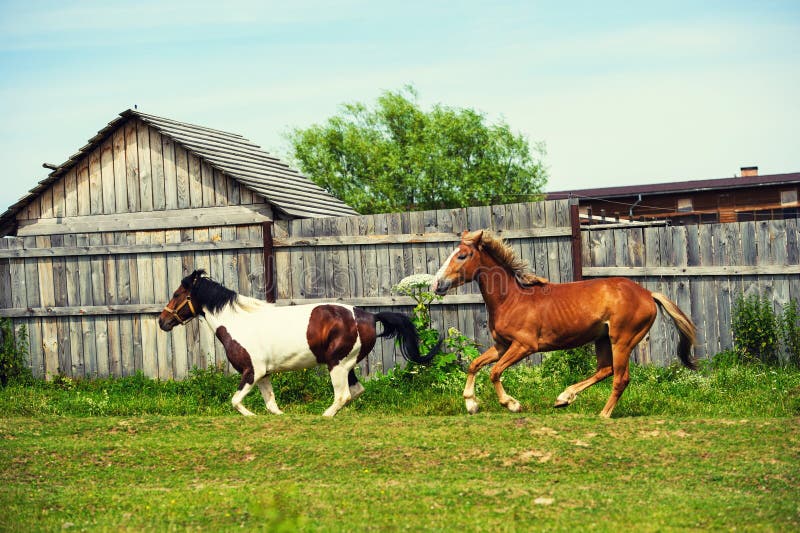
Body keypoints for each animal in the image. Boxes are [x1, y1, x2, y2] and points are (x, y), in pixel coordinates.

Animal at [158, 270, 437, 417]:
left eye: (177, 294)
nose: (162, 321)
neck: (237, 322)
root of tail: (368, 316)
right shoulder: (263, 374)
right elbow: (271, 405)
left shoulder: (252, 371)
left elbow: (235, 401)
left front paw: (250, 416)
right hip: (346, 365)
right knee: (355, 391)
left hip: (337, 364)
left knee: (343, 395)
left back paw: (324, 416)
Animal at [431, 230, 697, 418]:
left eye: (462, 255)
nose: (436, 284)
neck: (511, 299)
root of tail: (648, 294)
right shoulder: (502, 346)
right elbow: (474, 365)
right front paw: (471, 404)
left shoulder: (524, 346)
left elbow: (495, 372)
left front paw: (512, 404)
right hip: (602, 339)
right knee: (605, 370)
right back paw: (564, 398)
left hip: (622, 340)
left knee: (620, 378)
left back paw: (602, 414)